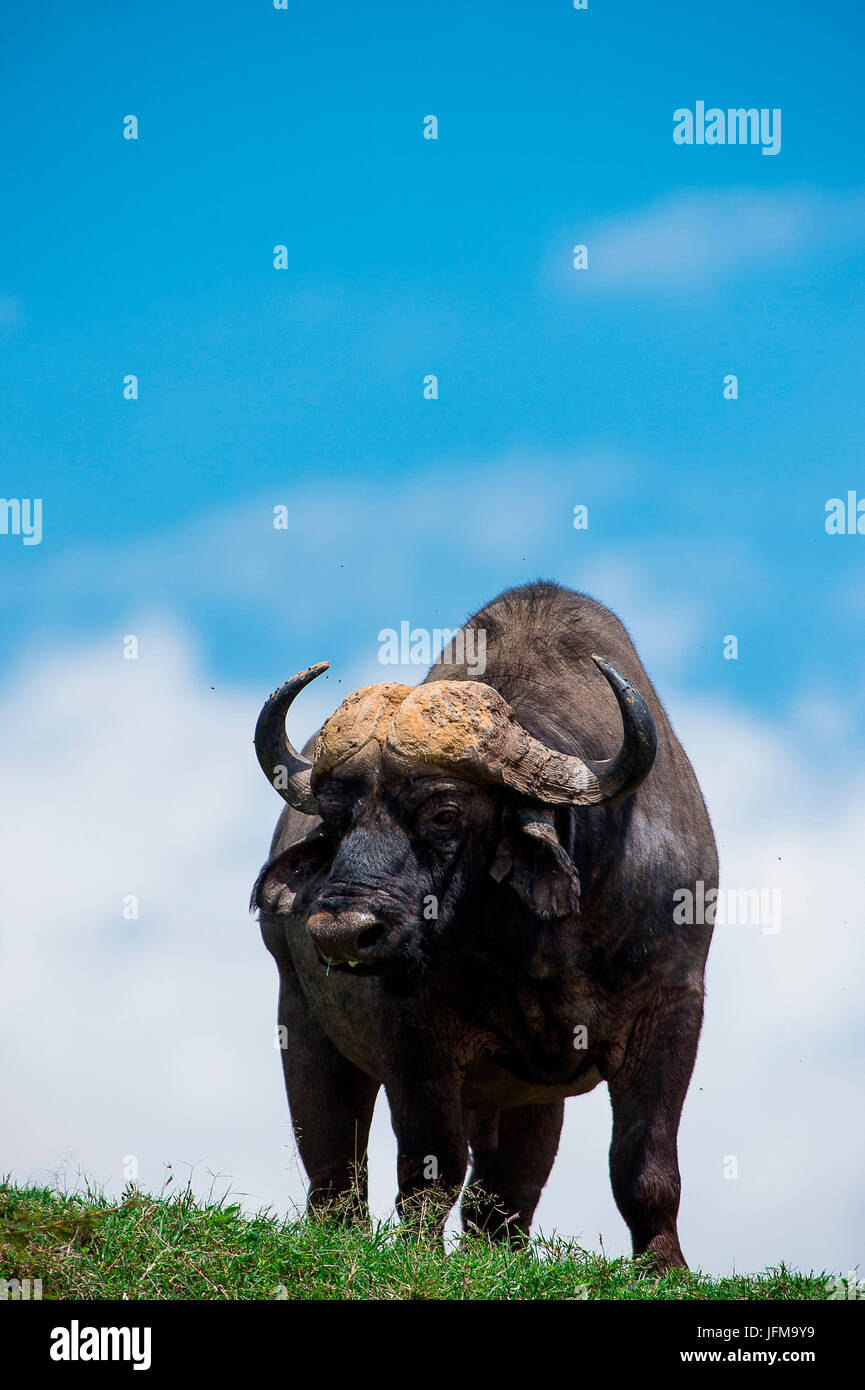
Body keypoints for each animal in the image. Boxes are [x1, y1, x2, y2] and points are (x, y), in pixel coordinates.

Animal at [252, 581, 717, 1270]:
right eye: (336, 823)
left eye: (445, 812)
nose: (341, 931)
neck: (542, 942)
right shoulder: (411, 1030)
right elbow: (429, 1167)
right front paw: (416, 1253)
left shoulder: (673, 1002)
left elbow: (644, 1166)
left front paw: (664, 1267)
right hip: (306, 1028)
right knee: (336, 1167)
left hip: (528, 1101)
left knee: (503, 1198)